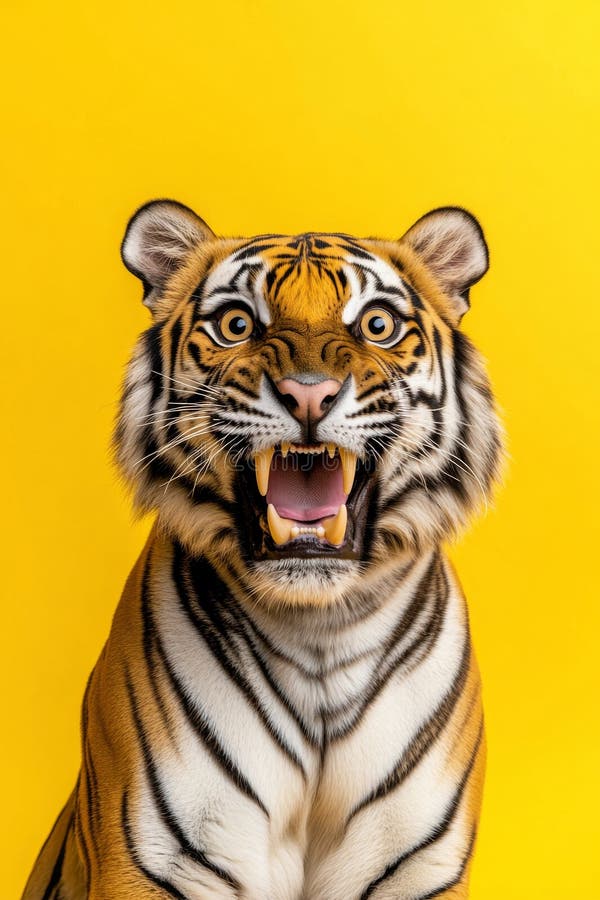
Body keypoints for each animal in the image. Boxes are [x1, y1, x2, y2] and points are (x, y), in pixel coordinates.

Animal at [23, 200, 503, 900]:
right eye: (237, 324)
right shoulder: (162, 859)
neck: (319, 630)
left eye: (378, 325)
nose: (309, 394)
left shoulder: (412, 865)